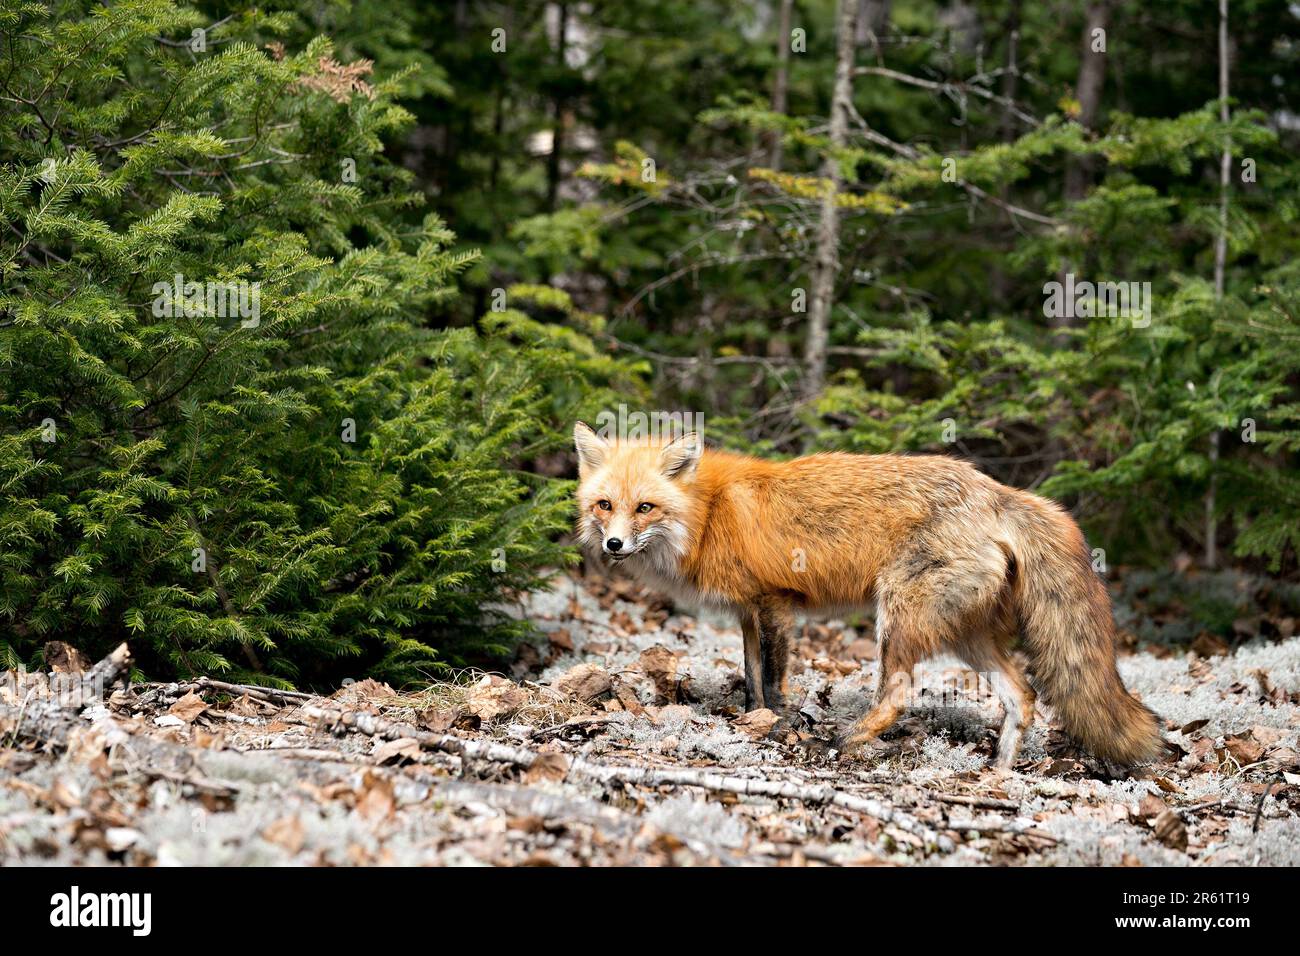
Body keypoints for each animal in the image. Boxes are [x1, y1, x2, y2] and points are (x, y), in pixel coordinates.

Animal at [573, 422, 1165, 768]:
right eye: (604, 504)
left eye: (645, 507)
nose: (614, 544)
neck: (709, 512)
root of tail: (997, 490)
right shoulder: (747, 612)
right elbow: (751, 679)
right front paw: (750, 721)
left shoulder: (775, 603)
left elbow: (774, 682)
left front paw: (779, 730)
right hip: (966, 635)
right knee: (1022, 696)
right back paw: (998, 773)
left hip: (898, 616)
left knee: (897, 696)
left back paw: (845, 742)